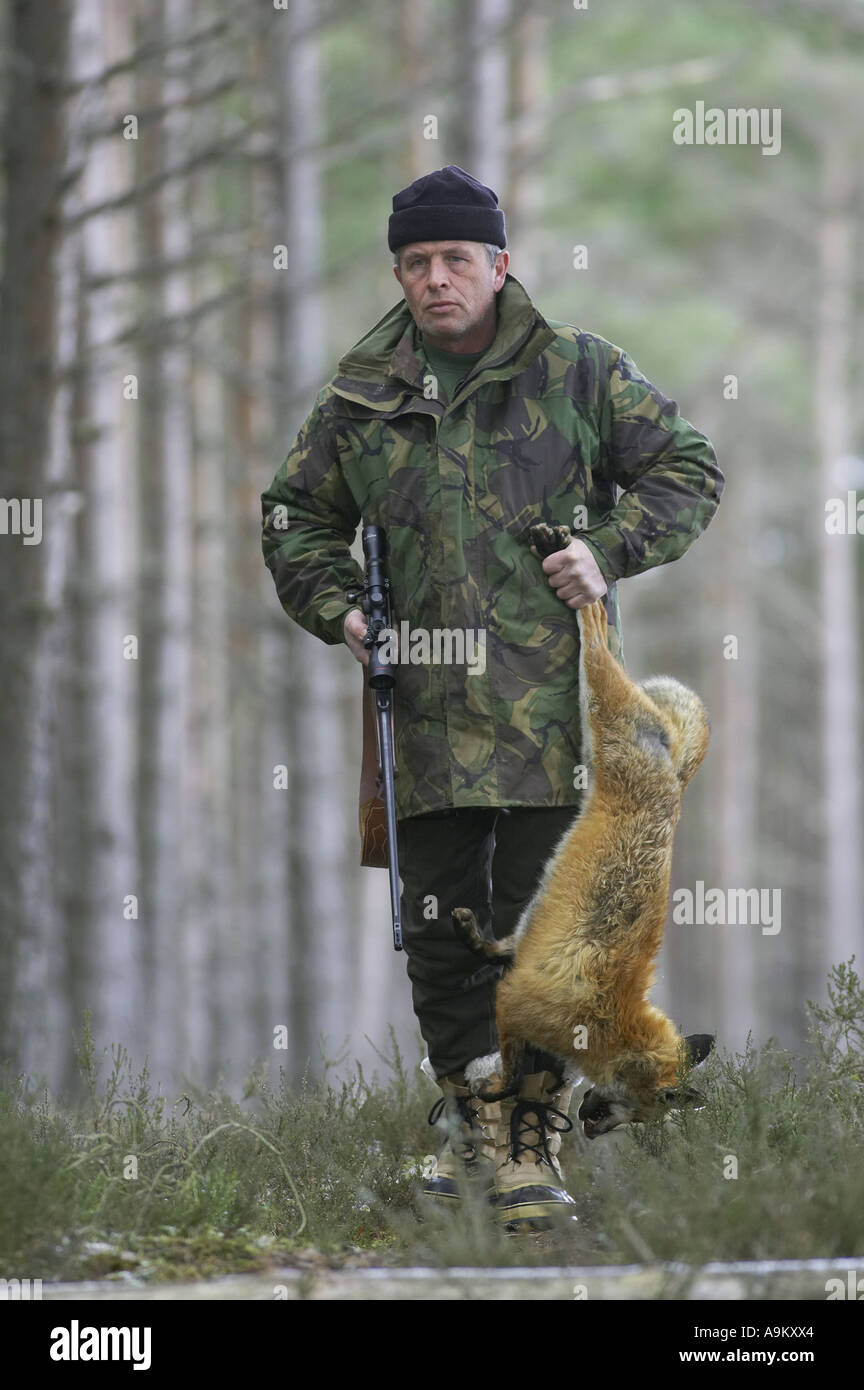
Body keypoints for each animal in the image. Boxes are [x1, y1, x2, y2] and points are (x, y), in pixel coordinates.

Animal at [452, 522, 715, 1139]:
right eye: (636, 1110)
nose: (594, 1130)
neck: (603, 1015)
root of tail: (672, 780)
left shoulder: (521, 979)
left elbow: (505, 955)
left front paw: (479, 941)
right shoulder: (513, 1004)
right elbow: (512, 1069)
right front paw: (495, 1092)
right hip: (600, 699)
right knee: (594, 629)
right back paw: (573, 568)